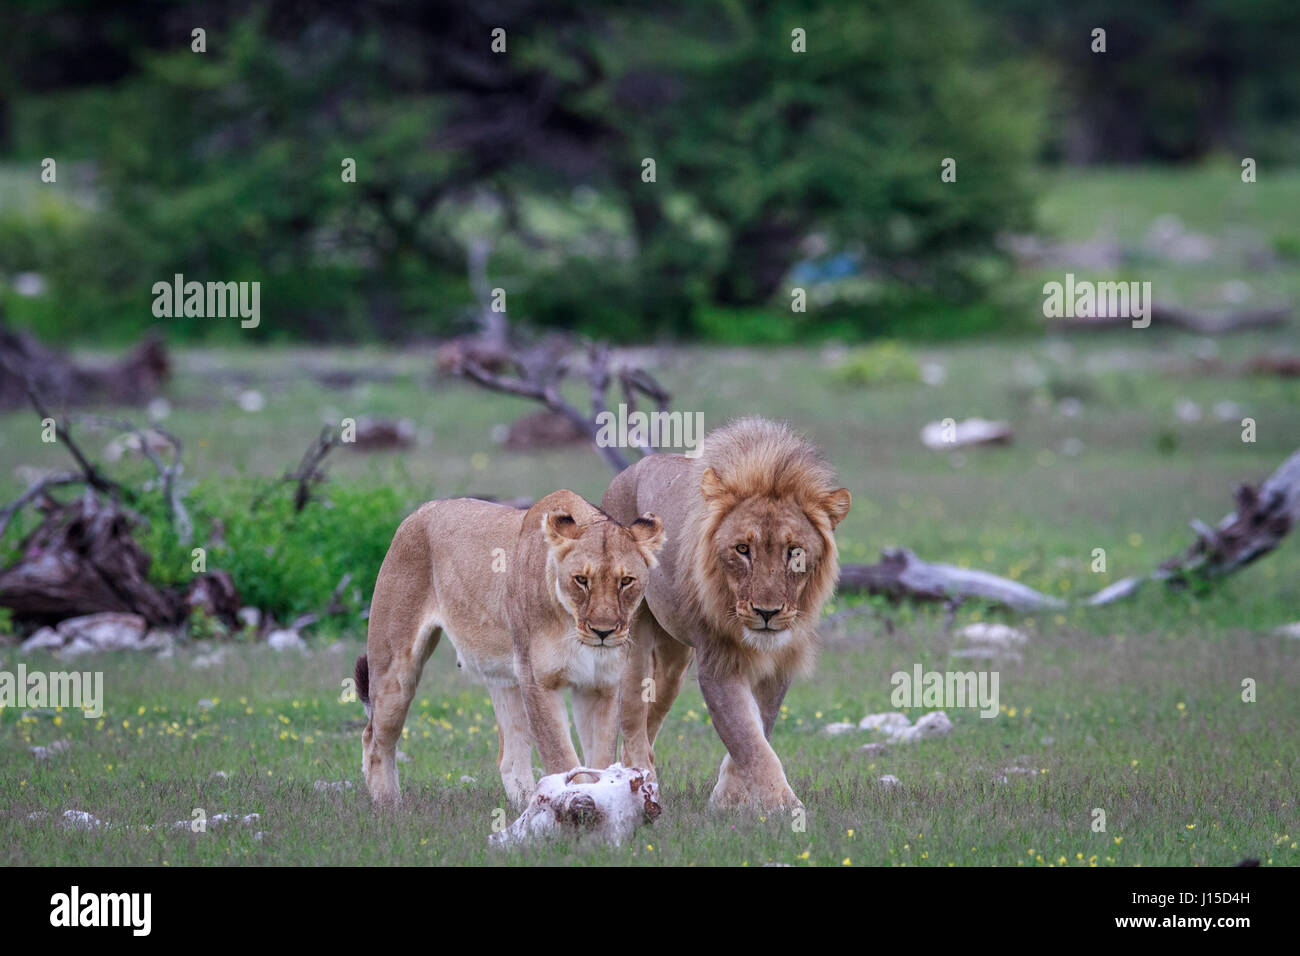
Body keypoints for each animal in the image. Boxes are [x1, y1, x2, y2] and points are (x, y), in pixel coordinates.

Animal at [355, 490, 665, 809]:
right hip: (395, 669)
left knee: (510, 756)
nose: (603, 632)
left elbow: (599, 759)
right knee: (374, 738)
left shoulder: (601, 686)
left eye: (626, 581)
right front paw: (573, 806)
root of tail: (420, 511)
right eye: (581, 580)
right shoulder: (537, 681)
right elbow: (561, 756)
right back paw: (388, 805)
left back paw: (525, 803)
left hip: (505, 680)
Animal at [601, 417, 850, 811]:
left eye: (794, 551)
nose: (767, 612)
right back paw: (642, 780)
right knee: (632, 717)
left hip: (674, 660)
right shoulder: (718, 663)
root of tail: (626, 473)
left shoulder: (777, 666)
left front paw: (727, 800)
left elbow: (756, 730)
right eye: (742, 549)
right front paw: (785, 808)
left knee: (654, 710)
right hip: (632, 636)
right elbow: (748, 740)